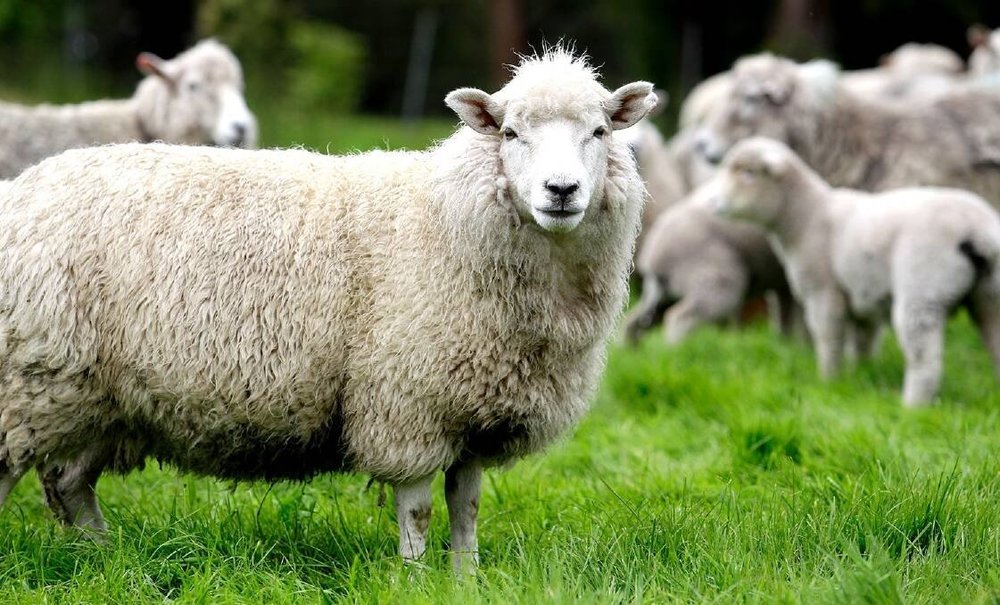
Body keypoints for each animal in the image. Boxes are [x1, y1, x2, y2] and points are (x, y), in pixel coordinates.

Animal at [623, 183, 797, 345]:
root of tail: (654, 254)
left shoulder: (784, 284)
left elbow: (787, 319)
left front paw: (786, 344)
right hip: (716, 282)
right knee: (680, 318)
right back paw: (678, 351)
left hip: (663, 295)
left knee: (635, 321)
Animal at [713, 137, 1000, 406]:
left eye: (749, 172)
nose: (715, 203)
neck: (806, 217)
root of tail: (978, 232)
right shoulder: (864, 296)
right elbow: (863, 340)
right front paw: (860, 372)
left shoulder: (824, 291)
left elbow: (829, 337)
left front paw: (829, 379)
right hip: (989, 293)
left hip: (924, 287)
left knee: (924, 357)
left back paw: (912, 405)